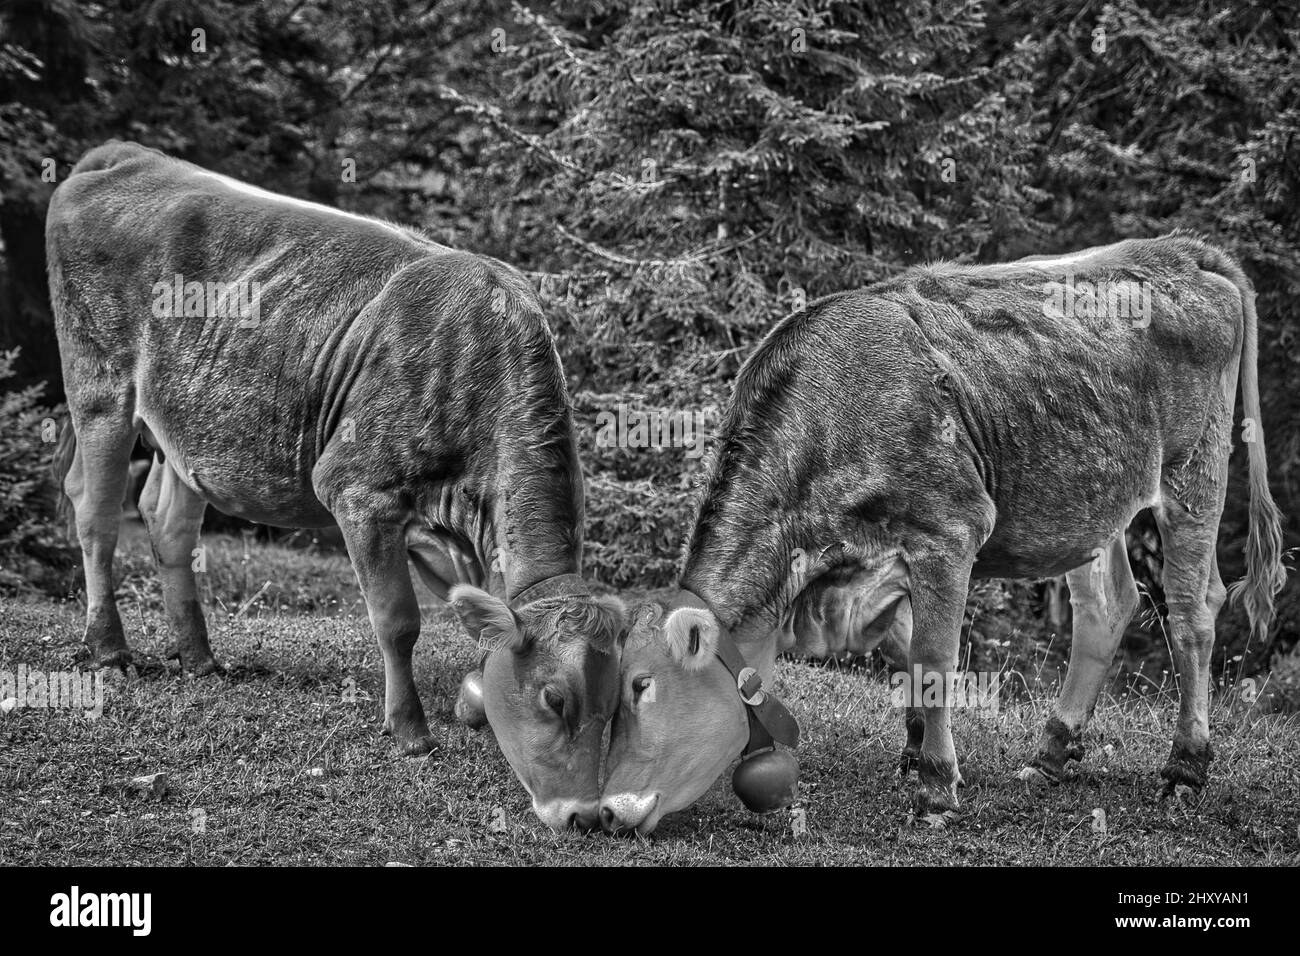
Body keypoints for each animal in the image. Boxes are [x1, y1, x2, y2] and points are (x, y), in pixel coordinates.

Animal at [46, 141, 625, 830]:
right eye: (554, 698)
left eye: (618, 706)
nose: (586, 815)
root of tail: (125, 156)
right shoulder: (358, 491)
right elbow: (398, 620)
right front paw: (411, 733)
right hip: (100, 391)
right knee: (97, 515)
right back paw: (109, 648)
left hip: (185, 425)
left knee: (166, 524)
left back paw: (200, 659)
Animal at [599, 233, 1287, 835]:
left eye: (643, 687)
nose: (605, 811)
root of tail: (1178, 249)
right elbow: (906, 652)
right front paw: (913, 758)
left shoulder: (948, 531)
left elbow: (933, 658)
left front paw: (934, 786)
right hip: (1091, 498)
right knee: (1109, 604)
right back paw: (1050, 754)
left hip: (1194, 469)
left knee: (1192, 612)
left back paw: (1185, 767)